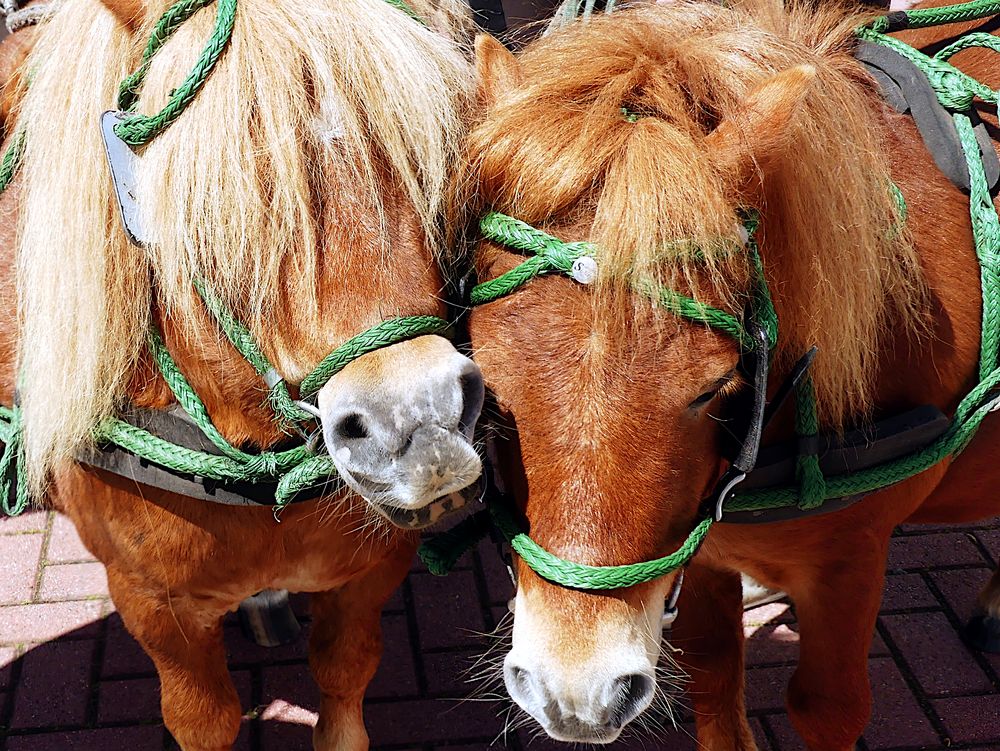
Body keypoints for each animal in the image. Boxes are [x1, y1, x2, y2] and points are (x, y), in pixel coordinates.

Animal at [0, 0, 482, 747]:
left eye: (429, 154)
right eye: (215, 197)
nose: (418, 422)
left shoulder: (372, 571)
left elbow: (345, 673)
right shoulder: (156, 606)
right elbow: (205, 719)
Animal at [460, 0, 1000, 747]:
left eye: (714, 389)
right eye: (492, 387)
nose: (575, 691)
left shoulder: (853, 559)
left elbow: (828, 706)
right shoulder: (701, 550)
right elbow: (715, 669)